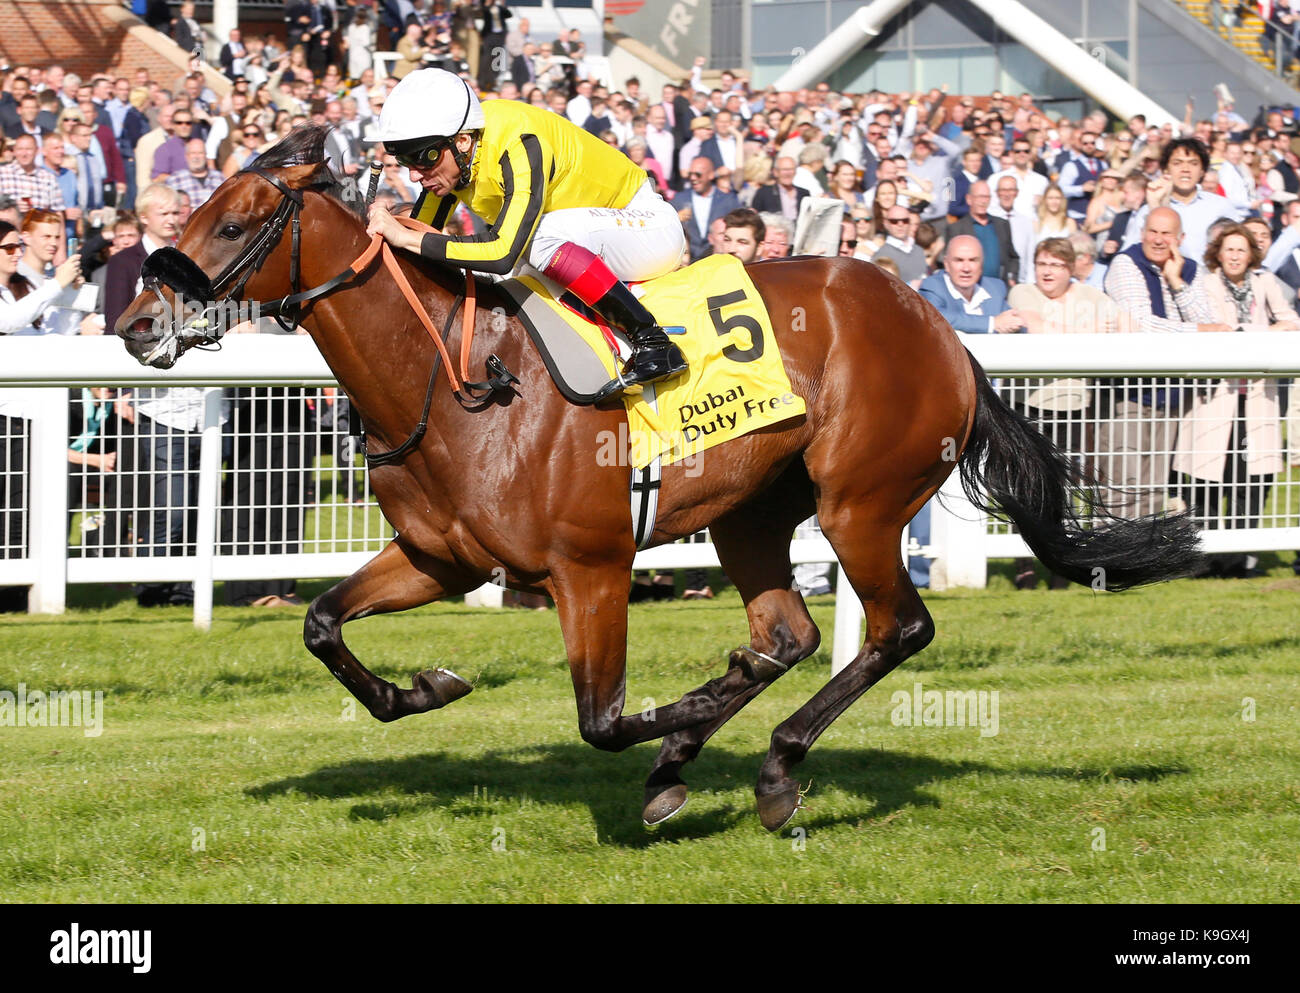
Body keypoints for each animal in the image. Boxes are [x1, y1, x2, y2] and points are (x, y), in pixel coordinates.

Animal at [115, 126, 1202, 831]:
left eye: (236, 222)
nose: (133, 321)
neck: (457, 385)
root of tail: (935, 322)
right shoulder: (438, 558)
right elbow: (320, 622)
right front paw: (425, 684)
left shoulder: (589, 567)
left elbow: (601, 719)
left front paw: (673, 727)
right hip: (753, 513)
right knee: (791, 634)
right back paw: (718, 751)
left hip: (859, 502)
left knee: (895, 630)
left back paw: (770, 768)